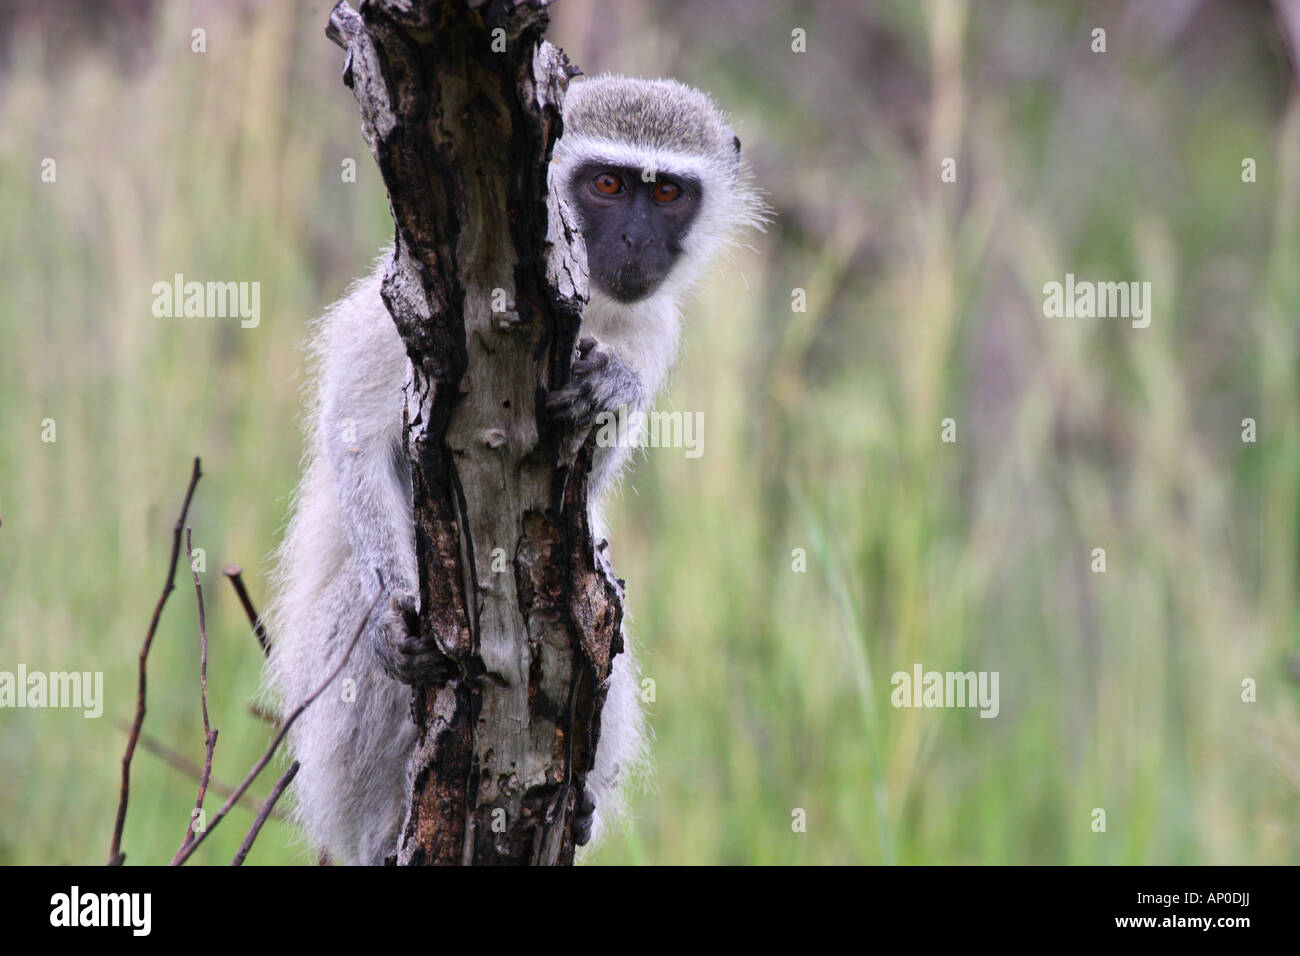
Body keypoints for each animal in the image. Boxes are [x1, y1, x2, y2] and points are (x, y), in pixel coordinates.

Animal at [264, 75, 765, 865]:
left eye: (666, 194)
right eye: (608, 184)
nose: (635, 243)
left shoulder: (654, 327)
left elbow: (584, 487)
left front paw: (614, 385)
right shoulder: (407, 310)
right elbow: (356, 438)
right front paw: (389, 612)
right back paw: (382, 825)